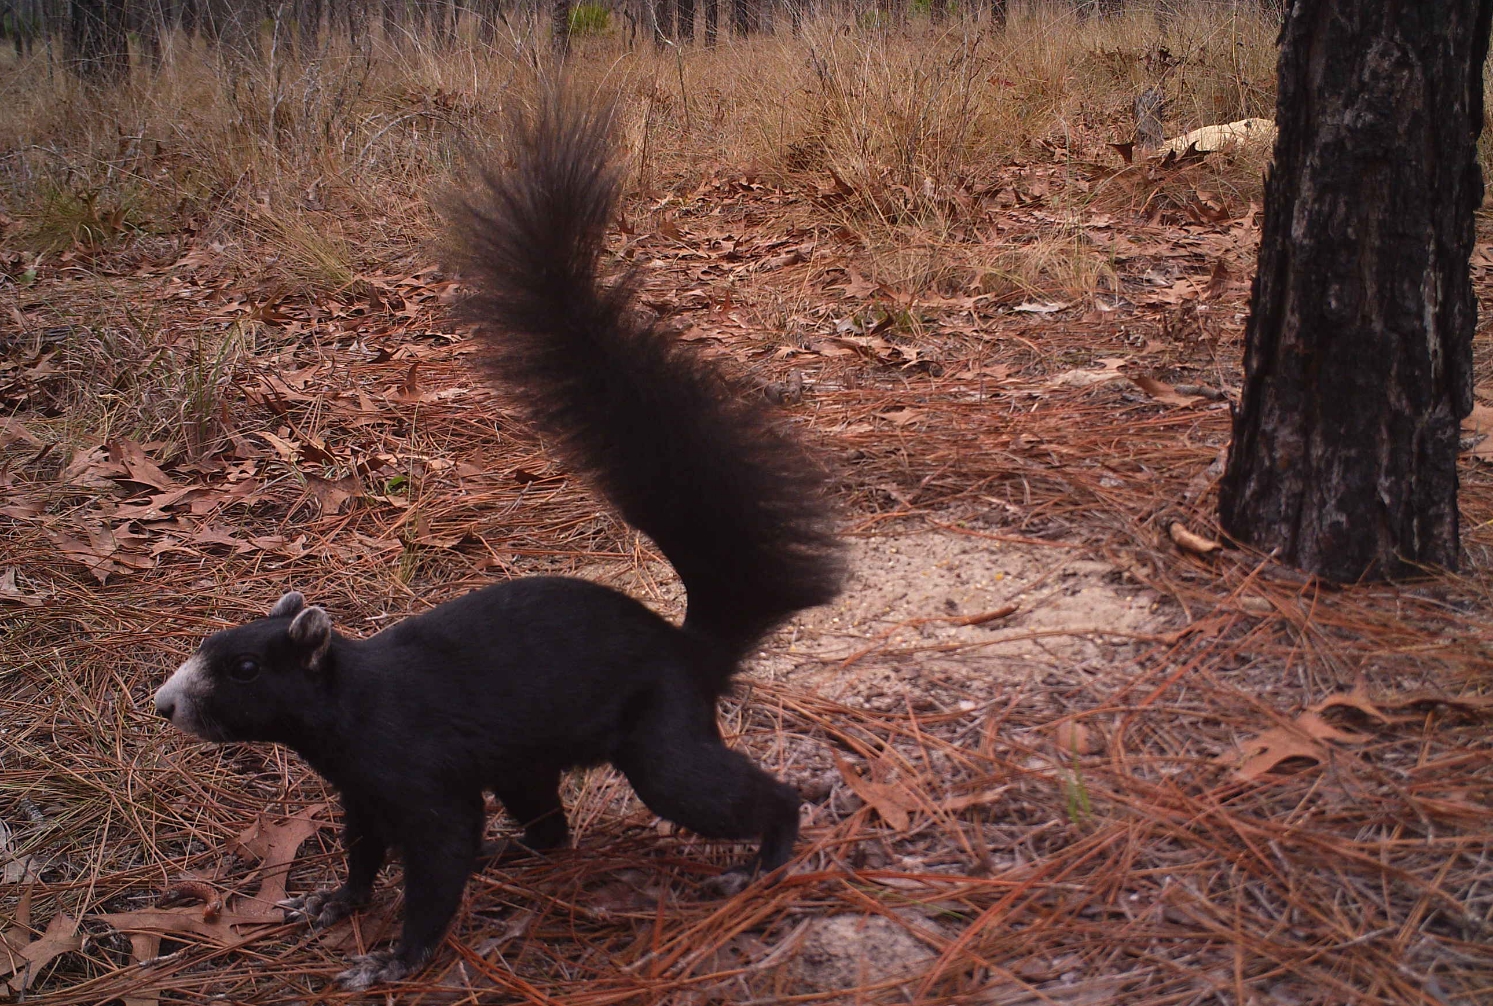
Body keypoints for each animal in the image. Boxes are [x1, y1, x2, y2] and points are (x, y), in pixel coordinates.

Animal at [152, 88, 845, 990]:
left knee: (732, 794)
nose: (166, 703)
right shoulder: (360, 793)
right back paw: (519, 854)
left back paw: (761, 860)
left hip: (658, 745)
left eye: (242, 669)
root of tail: (690, 653)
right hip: (526, 766)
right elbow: (363, 854)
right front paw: (333, 903)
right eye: (209, 647)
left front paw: (394, 960)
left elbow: (438, 859)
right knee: (550, 830)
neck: (350, 707)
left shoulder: (418, 776)